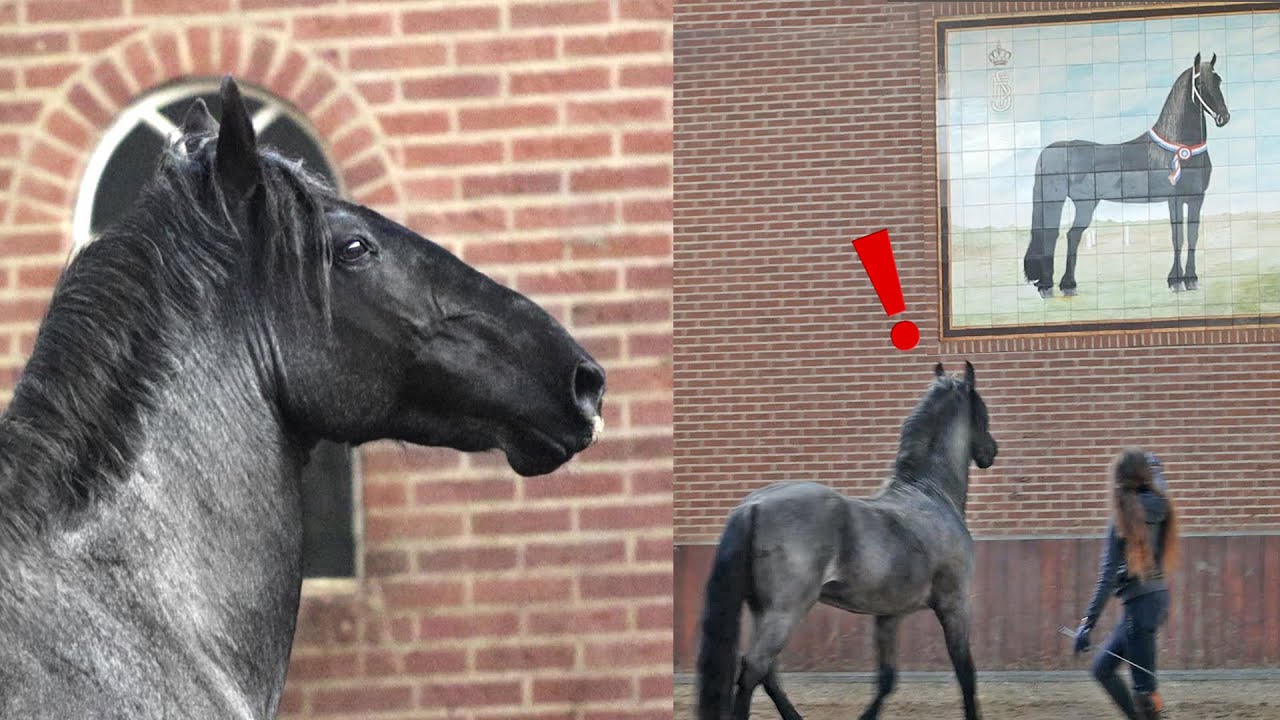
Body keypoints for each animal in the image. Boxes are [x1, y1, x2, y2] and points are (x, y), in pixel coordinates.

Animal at [696, 362, 998, 720]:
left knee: (768, 673)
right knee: (754, 669)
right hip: (785, 611)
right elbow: (966, 672)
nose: (991, 451)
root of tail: (752, 506)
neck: (929, 496)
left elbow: (887, 679)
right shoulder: (954, 604)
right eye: (982, 411)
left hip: (764, 611)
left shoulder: (889, 614)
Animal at [1023, 52, 1231, 298]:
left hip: (1084, 204)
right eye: (1199, 84)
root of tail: (1047, 151)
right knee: (1051, 235)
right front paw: (1175, 281)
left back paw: (1067, 286)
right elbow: (1177, 236)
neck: (1178, 147)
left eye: (1218, 80)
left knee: (1071, 235)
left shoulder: (1196, 198)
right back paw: (1047, 287)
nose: (1223, 118)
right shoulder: (1175, 199)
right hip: (1057, 201)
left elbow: (1193, 236)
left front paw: (1191, 280)